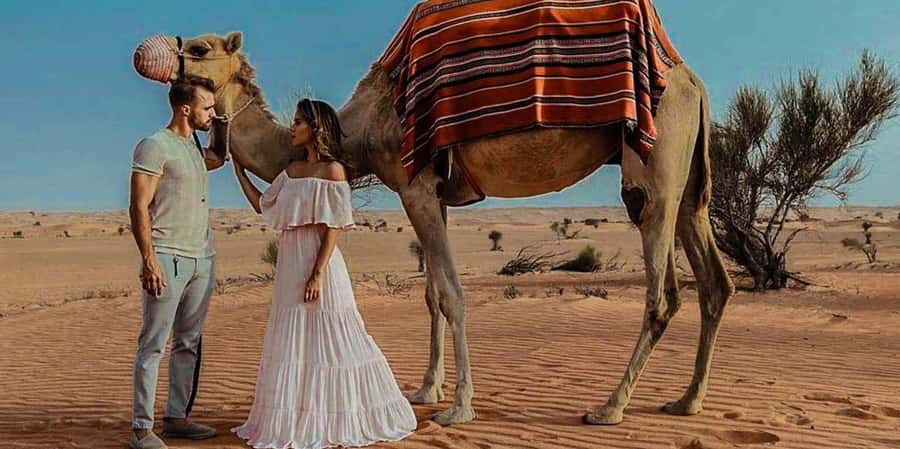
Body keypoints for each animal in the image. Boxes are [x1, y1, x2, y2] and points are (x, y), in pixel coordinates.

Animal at [133, 31, 734, 426]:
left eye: (200, 48)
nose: (147, 54)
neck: (356, 130)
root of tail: (694, 80)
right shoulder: (432, 195)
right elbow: (431, 296)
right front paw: (426, 389)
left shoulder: (415, 184)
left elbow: (452, 294)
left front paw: (458, 407)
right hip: (690, 181)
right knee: (715, 281)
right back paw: (688, 401)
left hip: (653, 168)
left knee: (663, 291)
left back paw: (610, 407)